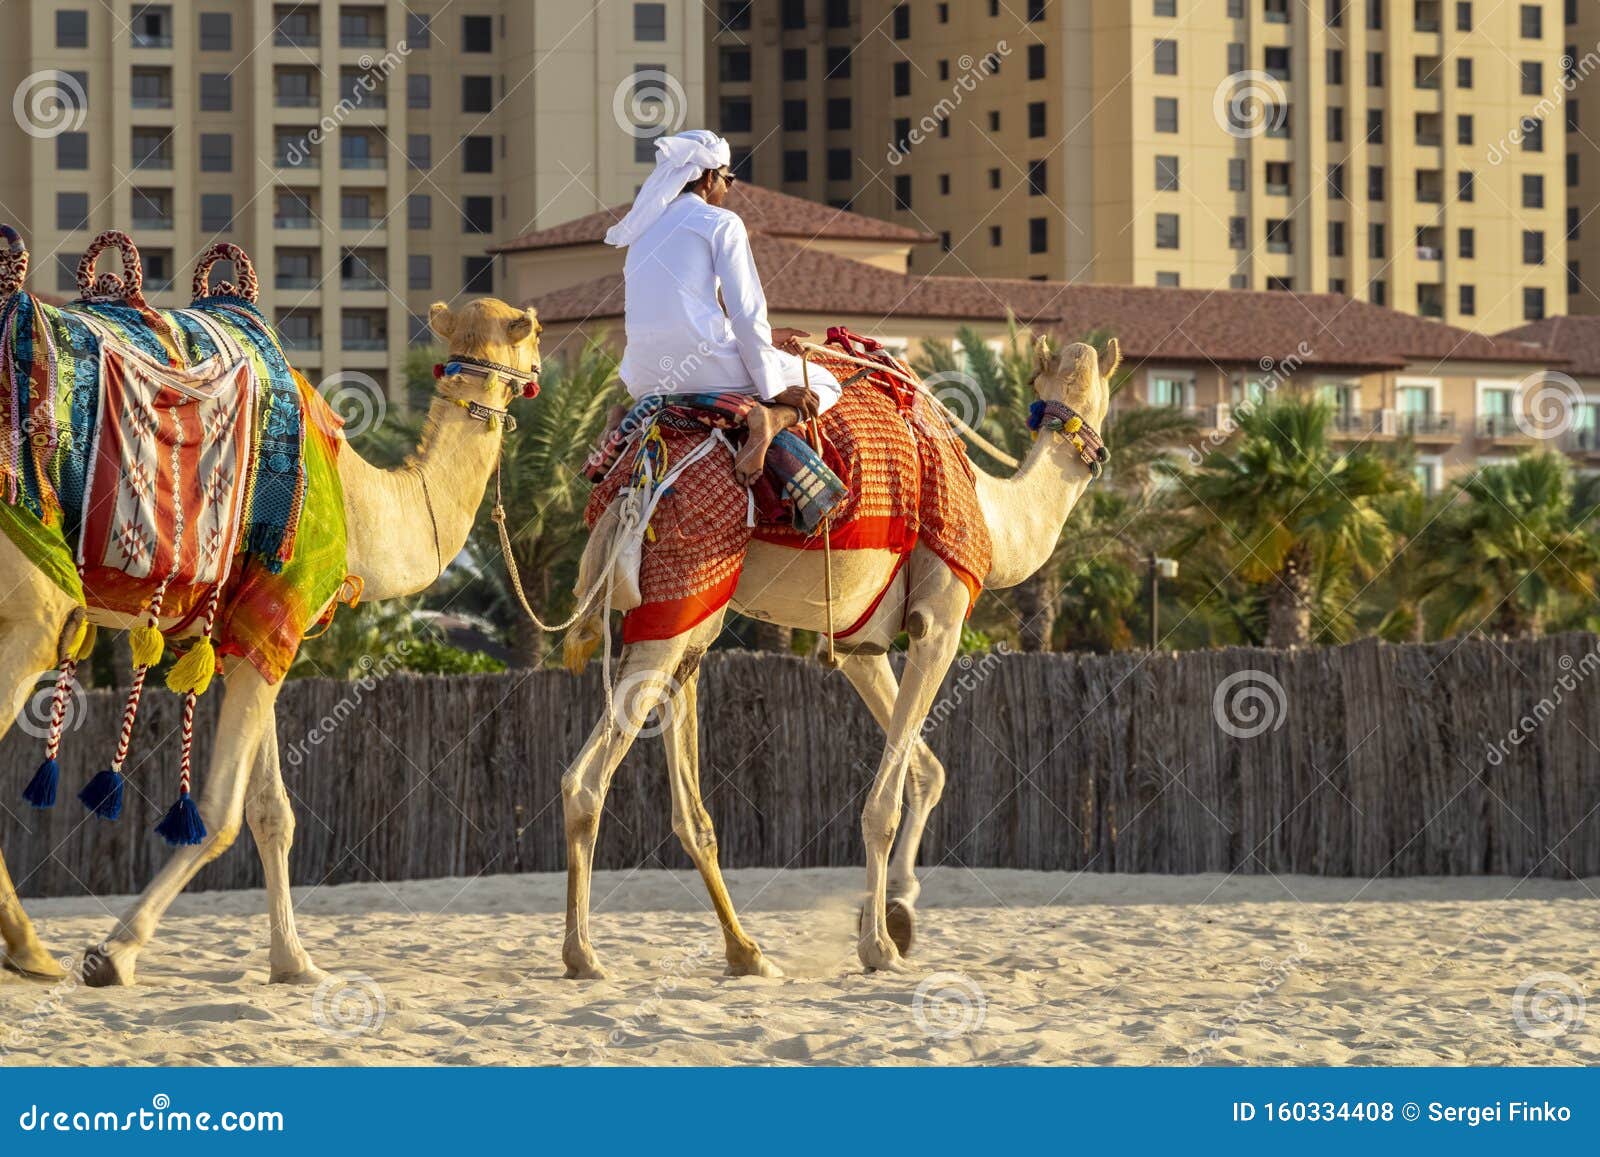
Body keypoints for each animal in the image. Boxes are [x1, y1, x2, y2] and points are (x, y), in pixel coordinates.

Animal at [0, 296, 541, 986]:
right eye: (533, 332)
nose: (540, 369)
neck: (360, 505)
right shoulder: (280, 609)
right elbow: (221, 813)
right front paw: (113, 953)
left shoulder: (250, 638)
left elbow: (270, 811)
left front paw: (294, 963)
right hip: (31, 592)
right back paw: (33, 950)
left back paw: (28, 949)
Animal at [559, 334, 1115, 976]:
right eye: (1097, 389)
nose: (1091, 444)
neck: (996, 522)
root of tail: (629, 481)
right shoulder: (941, 622)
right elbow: (884, 804)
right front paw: (880, 944)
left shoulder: (858, 645)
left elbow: (928, 771)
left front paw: (899, 909)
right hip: (681, 590)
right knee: (585, 781)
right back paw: (584, 955)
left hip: (691, 612)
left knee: (688, 808)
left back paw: (746, 952)